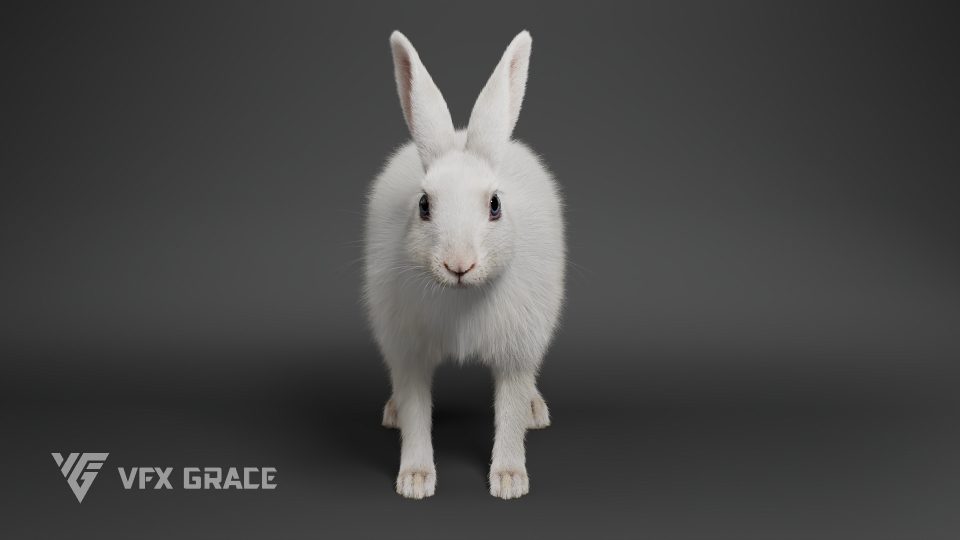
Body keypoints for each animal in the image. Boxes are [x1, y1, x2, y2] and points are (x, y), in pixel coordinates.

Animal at [363, 30, 565, 500]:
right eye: (423, 205)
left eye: (494, 205)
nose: (459, 265)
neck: (461, 299)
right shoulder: (409, 353)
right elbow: (417, 415)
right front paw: (415, 480)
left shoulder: (516, 352)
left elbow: (508, 414)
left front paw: (509, 481)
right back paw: (391, 412)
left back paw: (536, 411)